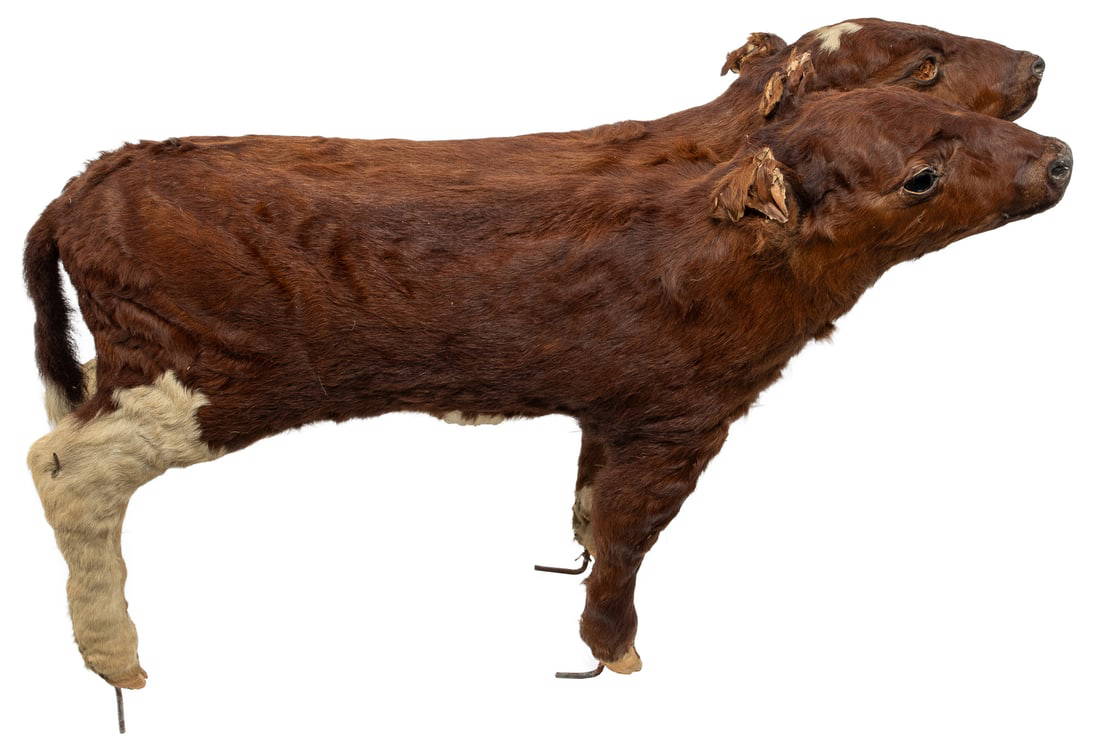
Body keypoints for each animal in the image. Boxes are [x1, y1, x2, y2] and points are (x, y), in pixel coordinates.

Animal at [24, 82, 1071, 689]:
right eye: (920, 175)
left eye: (983, 118)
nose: (1060, 156)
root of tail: (87, 182)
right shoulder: (681, 415)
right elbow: (633, 533)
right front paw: (613, 647)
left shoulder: (610, 406)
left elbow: (591, 500)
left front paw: (574, 561)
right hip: (199, 375)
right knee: (63, 467)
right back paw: (115, 658)